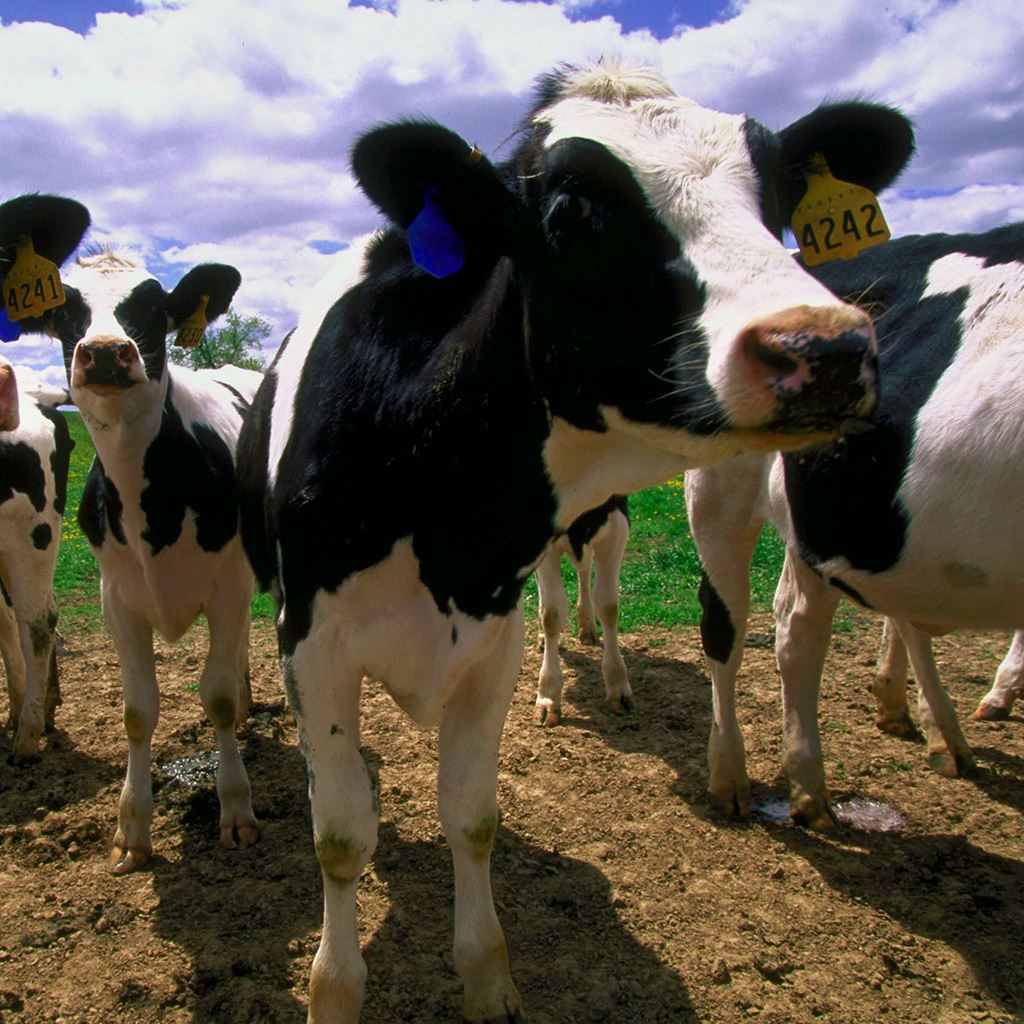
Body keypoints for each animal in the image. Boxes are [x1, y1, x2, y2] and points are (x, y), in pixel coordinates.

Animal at [40, 246, 262, 874]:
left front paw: (236, 808)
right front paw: (131, 829)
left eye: (154, 306)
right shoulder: (116, 598)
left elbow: (214, 696)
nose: (104, 351)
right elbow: (138, 712)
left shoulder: (230, 586)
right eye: (65, 310)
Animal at [534, 495, 630, 725]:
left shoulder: (618, 523)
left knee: (585, 569)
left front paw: (617, 684)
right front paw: (548, 695)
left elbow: (608, 606)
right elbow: (551, 613)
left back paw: (587, 627)